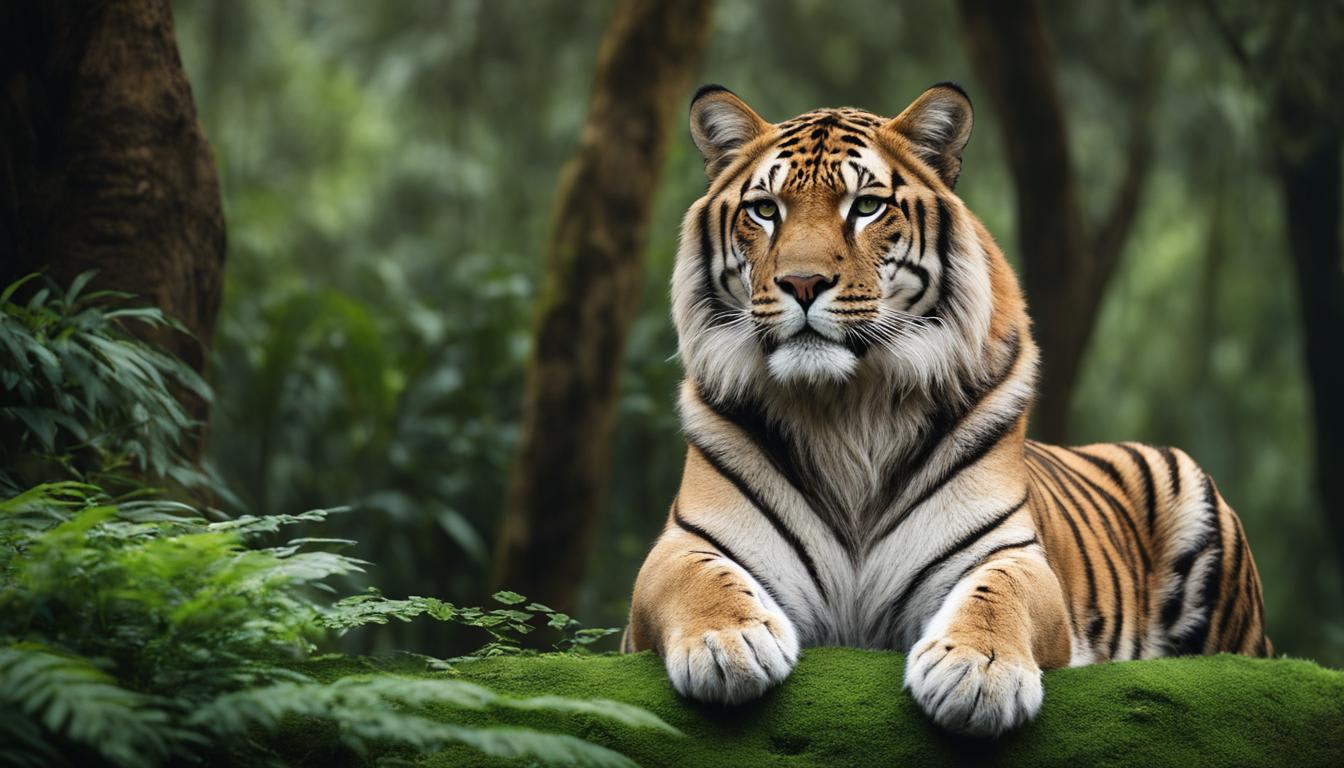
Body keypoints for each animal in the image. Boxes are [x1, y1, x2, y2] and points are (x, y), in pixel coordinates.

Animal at [621, 82, 1271, 737]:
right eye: (765, 210)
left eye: (866, 207)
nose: (802, 283)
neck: (843, 407)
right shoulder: (679, 546)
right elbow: (697, 576)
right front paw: (729, 642)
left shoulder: (1010, 553)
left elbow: (999, 592)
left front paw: (978, 672)